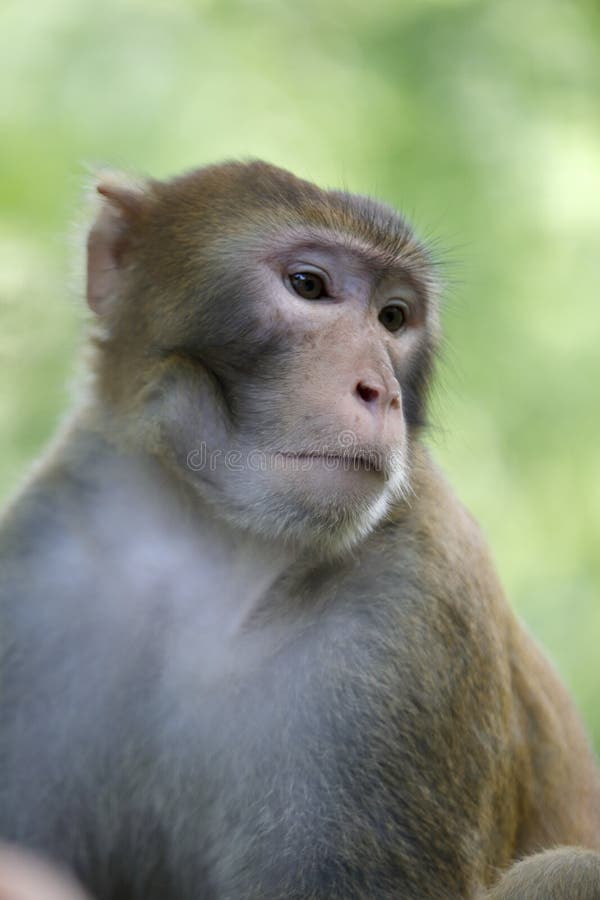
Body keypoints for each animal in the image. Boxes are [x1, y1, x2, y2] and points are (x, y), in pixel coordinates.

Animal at [0, 160, 599, 900]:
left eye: (393, 318)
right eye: (308, 286)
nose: (381, 391)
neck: (212, 549)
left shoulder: (411, 618)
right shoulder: (37, 574)